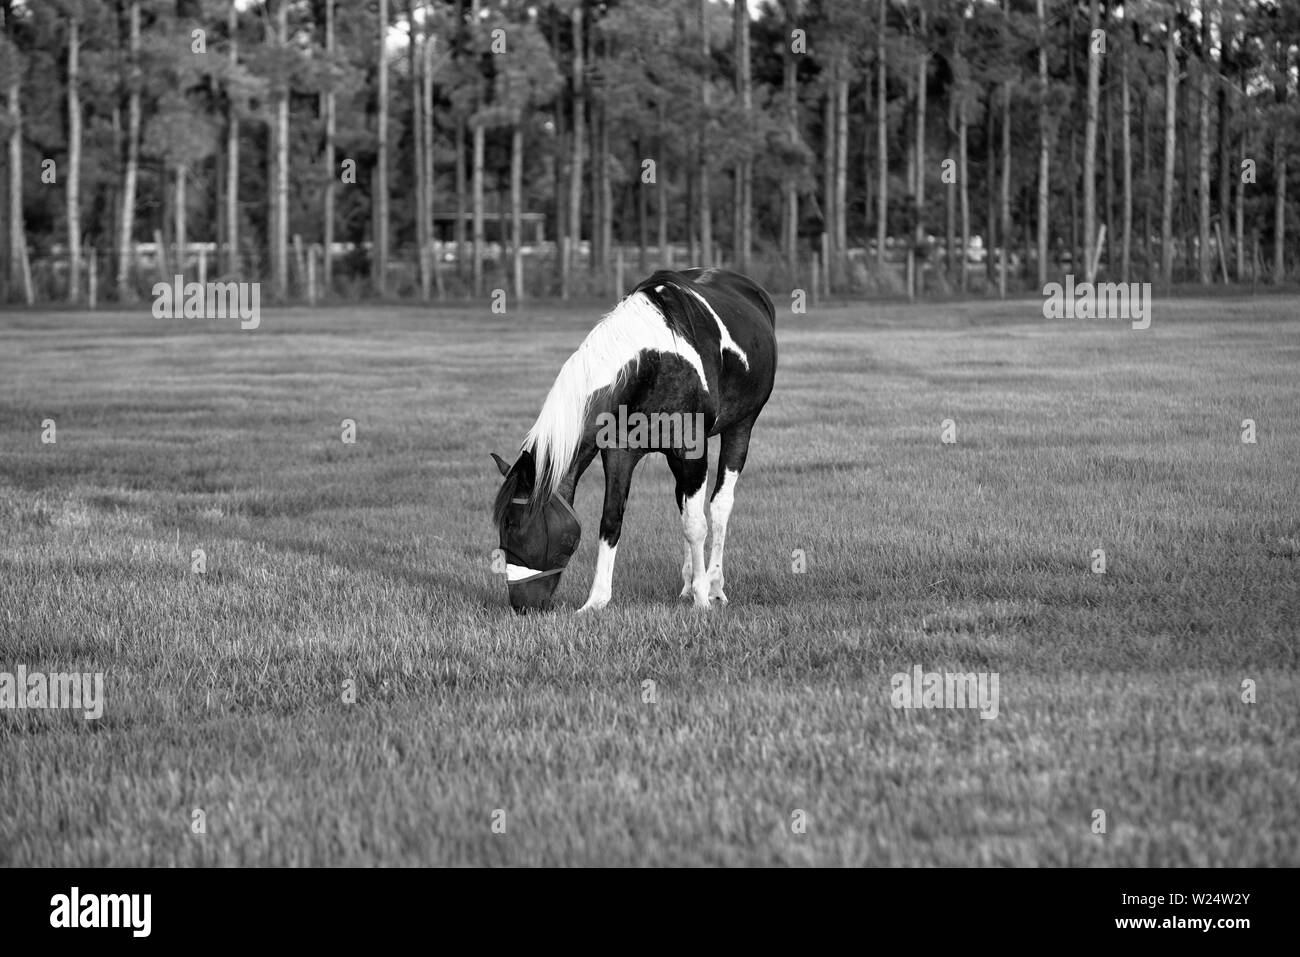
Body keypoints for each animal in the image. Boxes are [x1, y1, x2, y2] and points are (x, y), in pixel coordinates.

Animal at [491, 267, 777, 613]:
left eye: (512, 524)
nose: (520, 604)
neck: (652, 362)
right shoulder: (620, 453)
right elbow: (612, 520)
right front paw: (596, 601)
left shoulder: (692, 451)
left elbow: (696, 524)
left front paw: (702, 598)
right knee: (683, 503)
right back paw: (688, 584)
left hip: (741, 427)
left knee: (719, 507)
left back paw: (714, 586)